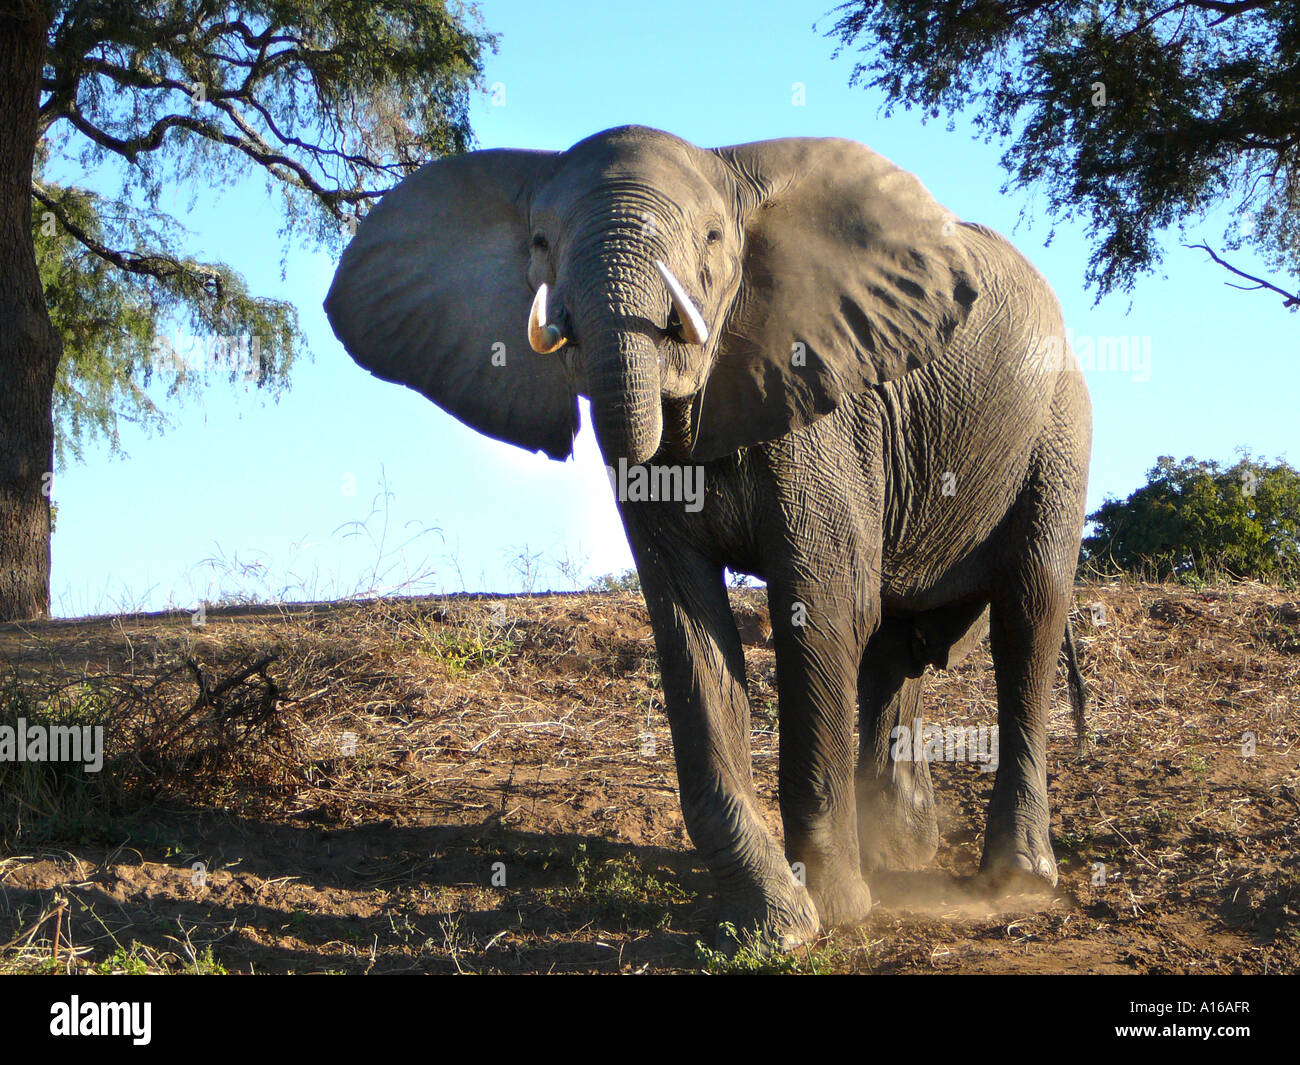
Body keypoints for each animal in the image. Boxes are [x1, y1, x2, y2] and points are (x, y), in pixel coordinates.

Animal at [324, 125, 1092, 951]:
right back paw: (899, 849)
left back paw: (1014, 877)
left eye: (715, 241)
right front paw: (776, 921)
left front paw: (837, 908)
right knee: (901, 641)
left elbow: (822, 608)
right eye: (539, 243)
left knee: (1026, 614)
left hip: (1059, 423)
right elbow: (690, 627)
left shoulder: (822, 406)